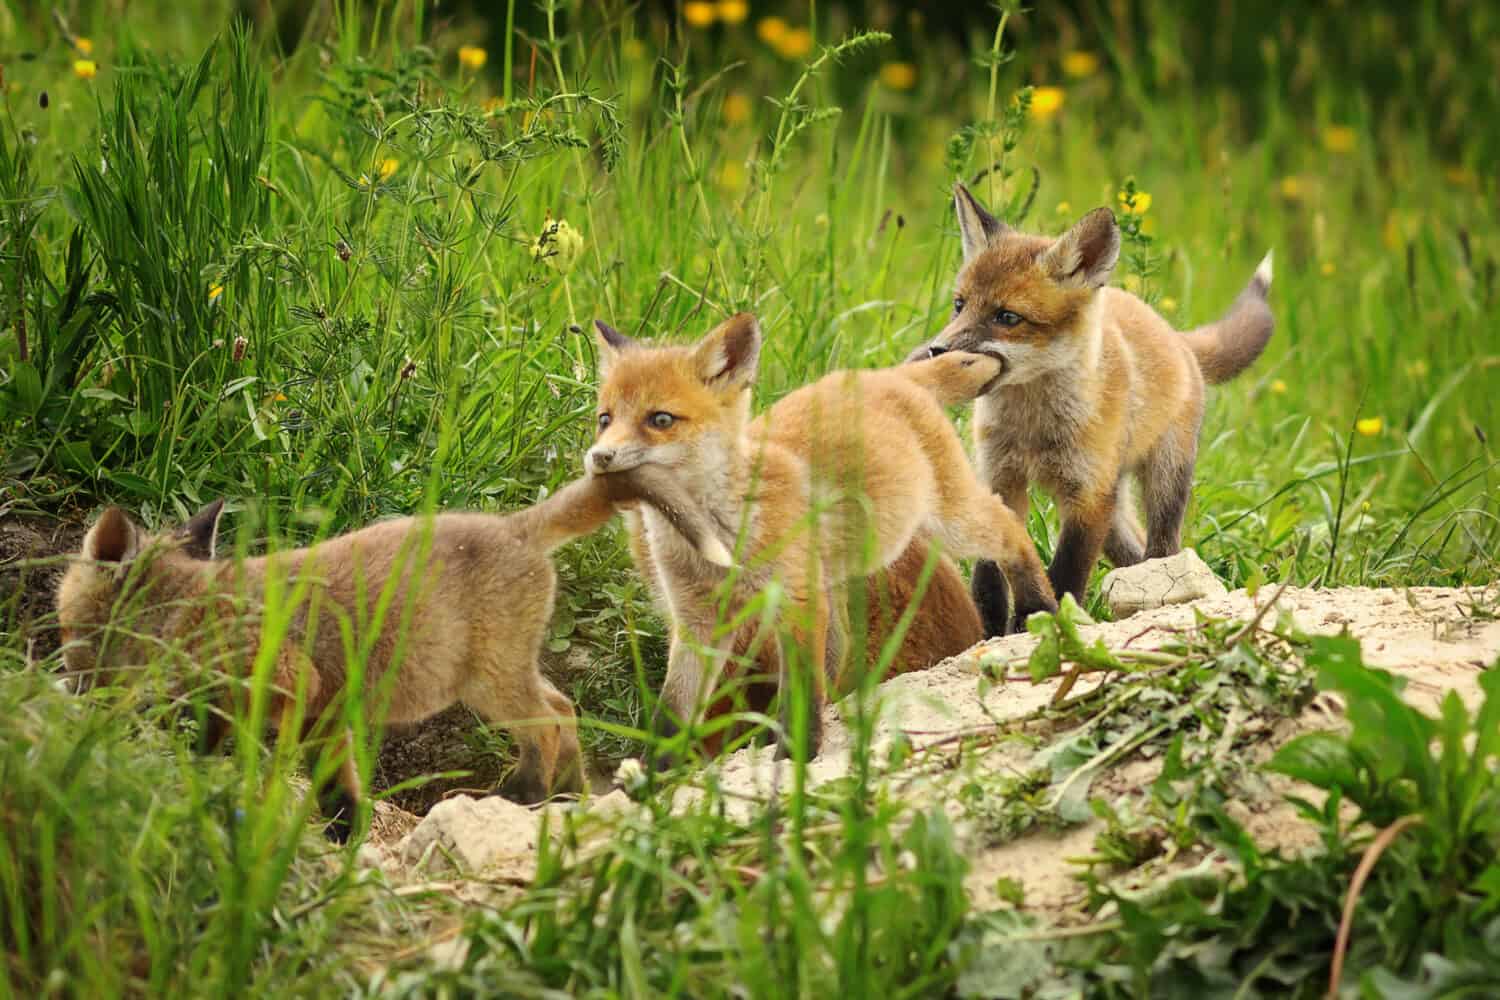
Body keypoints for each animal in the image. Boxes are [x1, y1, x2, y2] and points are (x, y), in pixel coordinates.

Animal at [55, 467, 729, 841]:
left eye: (68, 632)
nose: (73, 687)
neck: (187, 609)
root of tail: (512, 524)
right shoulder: (317, 711)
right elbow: (334, 783)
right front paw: (343, 835)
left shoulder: (294, 686)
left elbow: (269, 760)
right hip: (500, 676)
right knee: (564, 707)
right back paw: (565, 795)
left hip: (489, 684)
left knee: (551, 720)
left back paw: (527, 793)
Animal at [587, 312, 1055, 761]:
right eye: (604, 419)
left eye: (660, 420)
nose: (599, 457)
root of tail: (887, 375)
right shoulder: (697, 619)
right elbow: (673, 711)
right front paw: (657, 772)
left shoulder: (793, 601)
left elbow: (797, 691)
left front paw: (795, 755)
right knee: (838, 656)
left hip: (950, 520)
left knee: (1010, 530)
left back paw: (1038, 607)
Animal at [912, 183, 1274, 635]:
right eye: (960, 305)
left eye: (1007, 316)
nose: (936, 351)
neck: (1033, 427)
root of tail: (1173, 334)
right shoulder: (1000, 479)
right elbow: (990, 574)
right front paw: (994, 629)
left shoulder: (1086, 497)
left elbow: (1066, 573)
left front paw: (1043, 625)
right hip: (1114, 511)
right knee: (1134, 553)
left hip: (1158, 483)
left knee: (1161, 548)